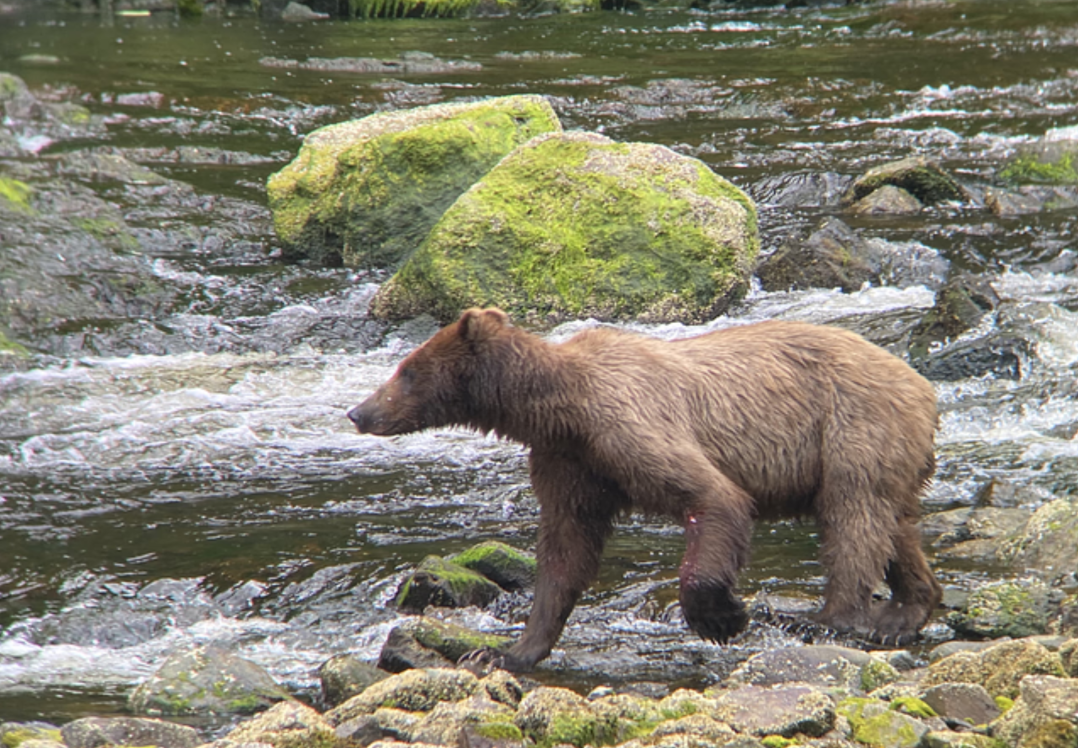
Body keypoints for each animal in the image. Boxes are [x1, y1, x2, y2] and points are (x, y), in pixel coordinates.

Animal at [348, 307, 943, 672]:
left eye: (405, 370)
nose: (358, 411)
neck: (560, 408)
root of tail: (923, 383)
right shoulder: (572, 464)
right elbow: (565, 551)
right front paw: (509, 650)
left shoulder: (627, 424)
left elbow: (714, 497)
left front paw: (722, 617)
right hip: (889, 449)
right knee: (896, 528)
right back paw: (905, 611)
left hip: (852, 426)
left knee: (854, 515)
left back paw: (826, 618)